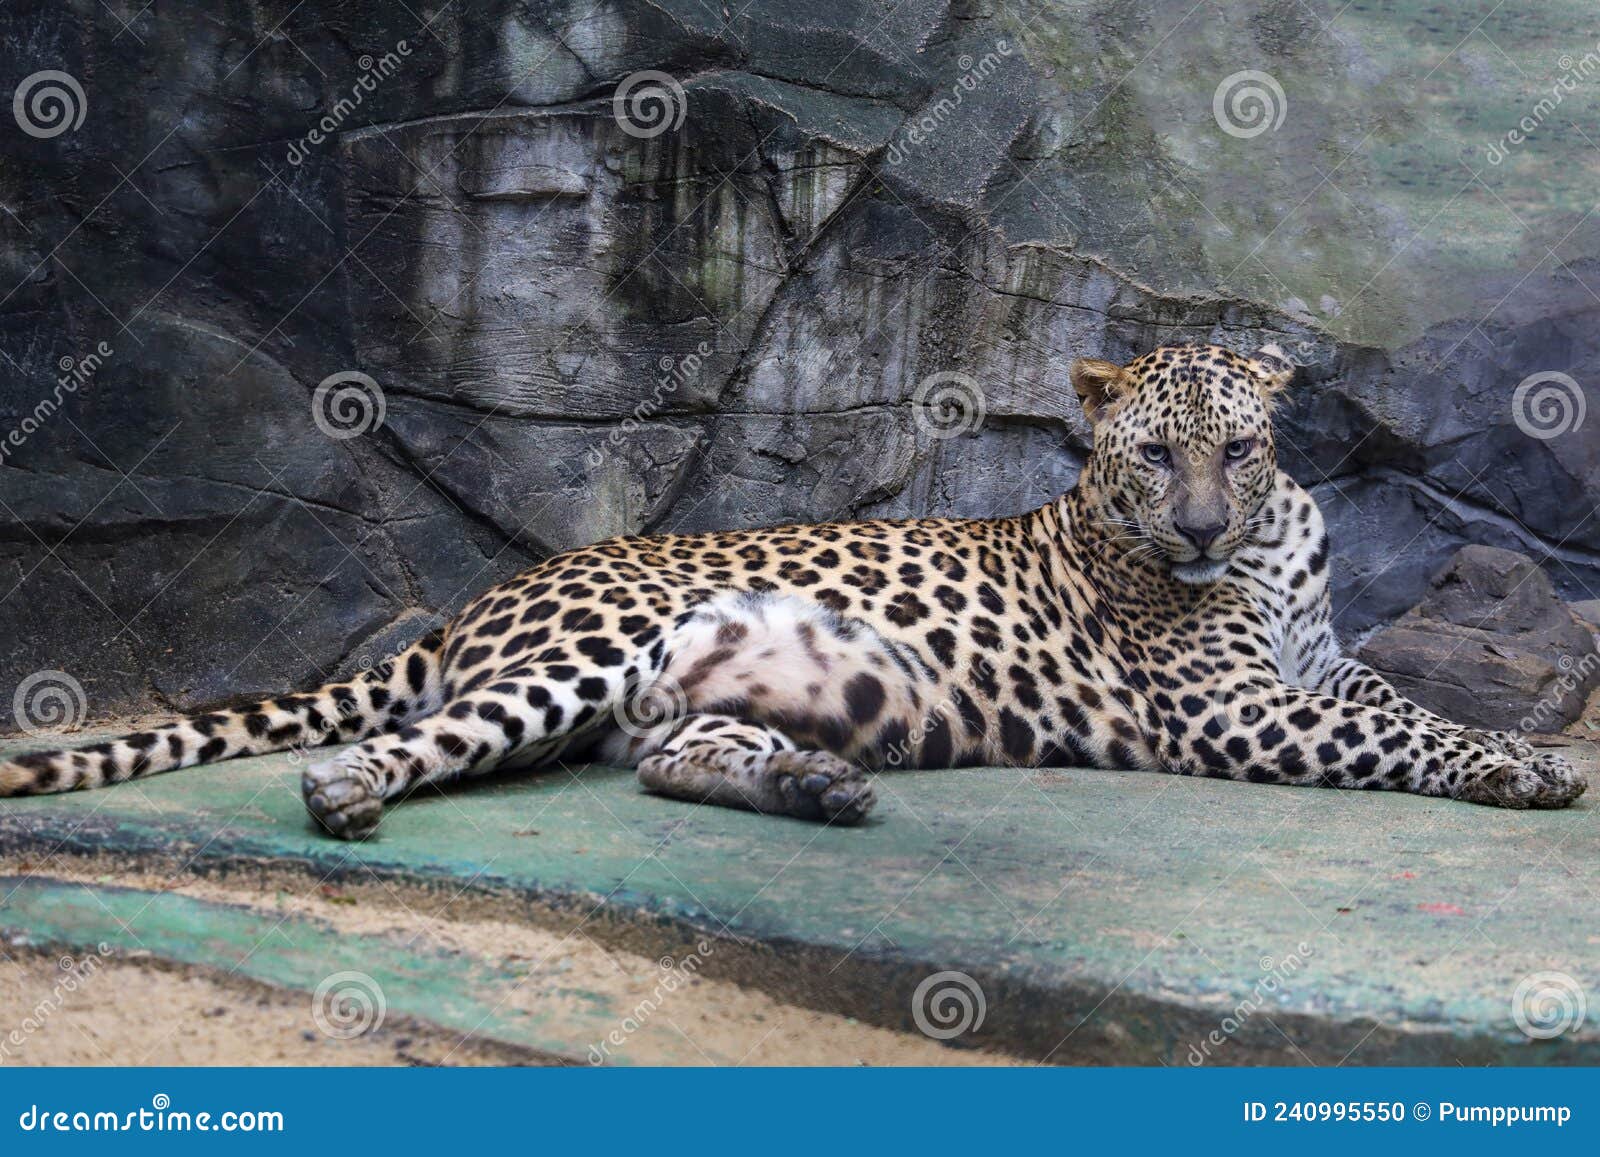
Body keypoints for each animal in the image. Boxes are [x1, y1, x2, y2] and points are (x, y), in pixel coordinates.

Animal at [1, 342, 1585, 839]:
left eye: (1239, 450)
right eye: (1153, 460)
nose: (1194, 533)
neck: (1263, 544)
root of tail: (498, 587)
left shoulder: (1314, 668)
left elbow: (1401, 700)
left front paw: (1525, 745)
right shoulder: (1239, 709)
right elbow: (1396, 737)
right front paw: (1519, 767)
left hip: (669, 693)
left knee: (666, 755)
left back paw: (812, 786)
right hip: (589, 651)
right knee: (423, 737)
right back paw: (344, 791)